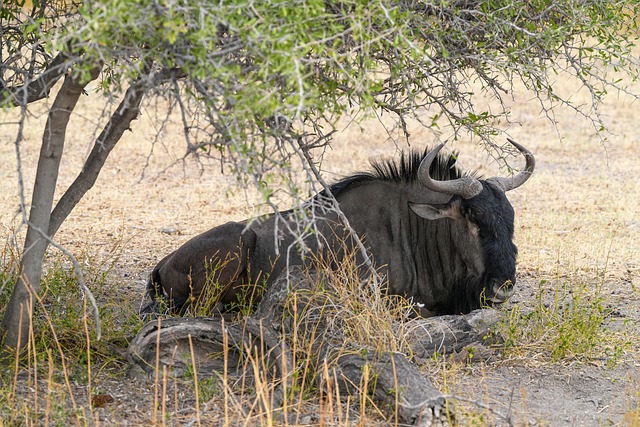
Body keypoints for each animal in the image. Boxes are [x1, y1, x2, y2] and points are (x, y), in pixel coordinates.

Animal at [142, 139, 535, 317]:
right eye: (472, 219)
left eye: (509, 219)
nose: (502, 287)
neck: (412, 227)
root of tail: (162, 264)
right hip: (234, 248)